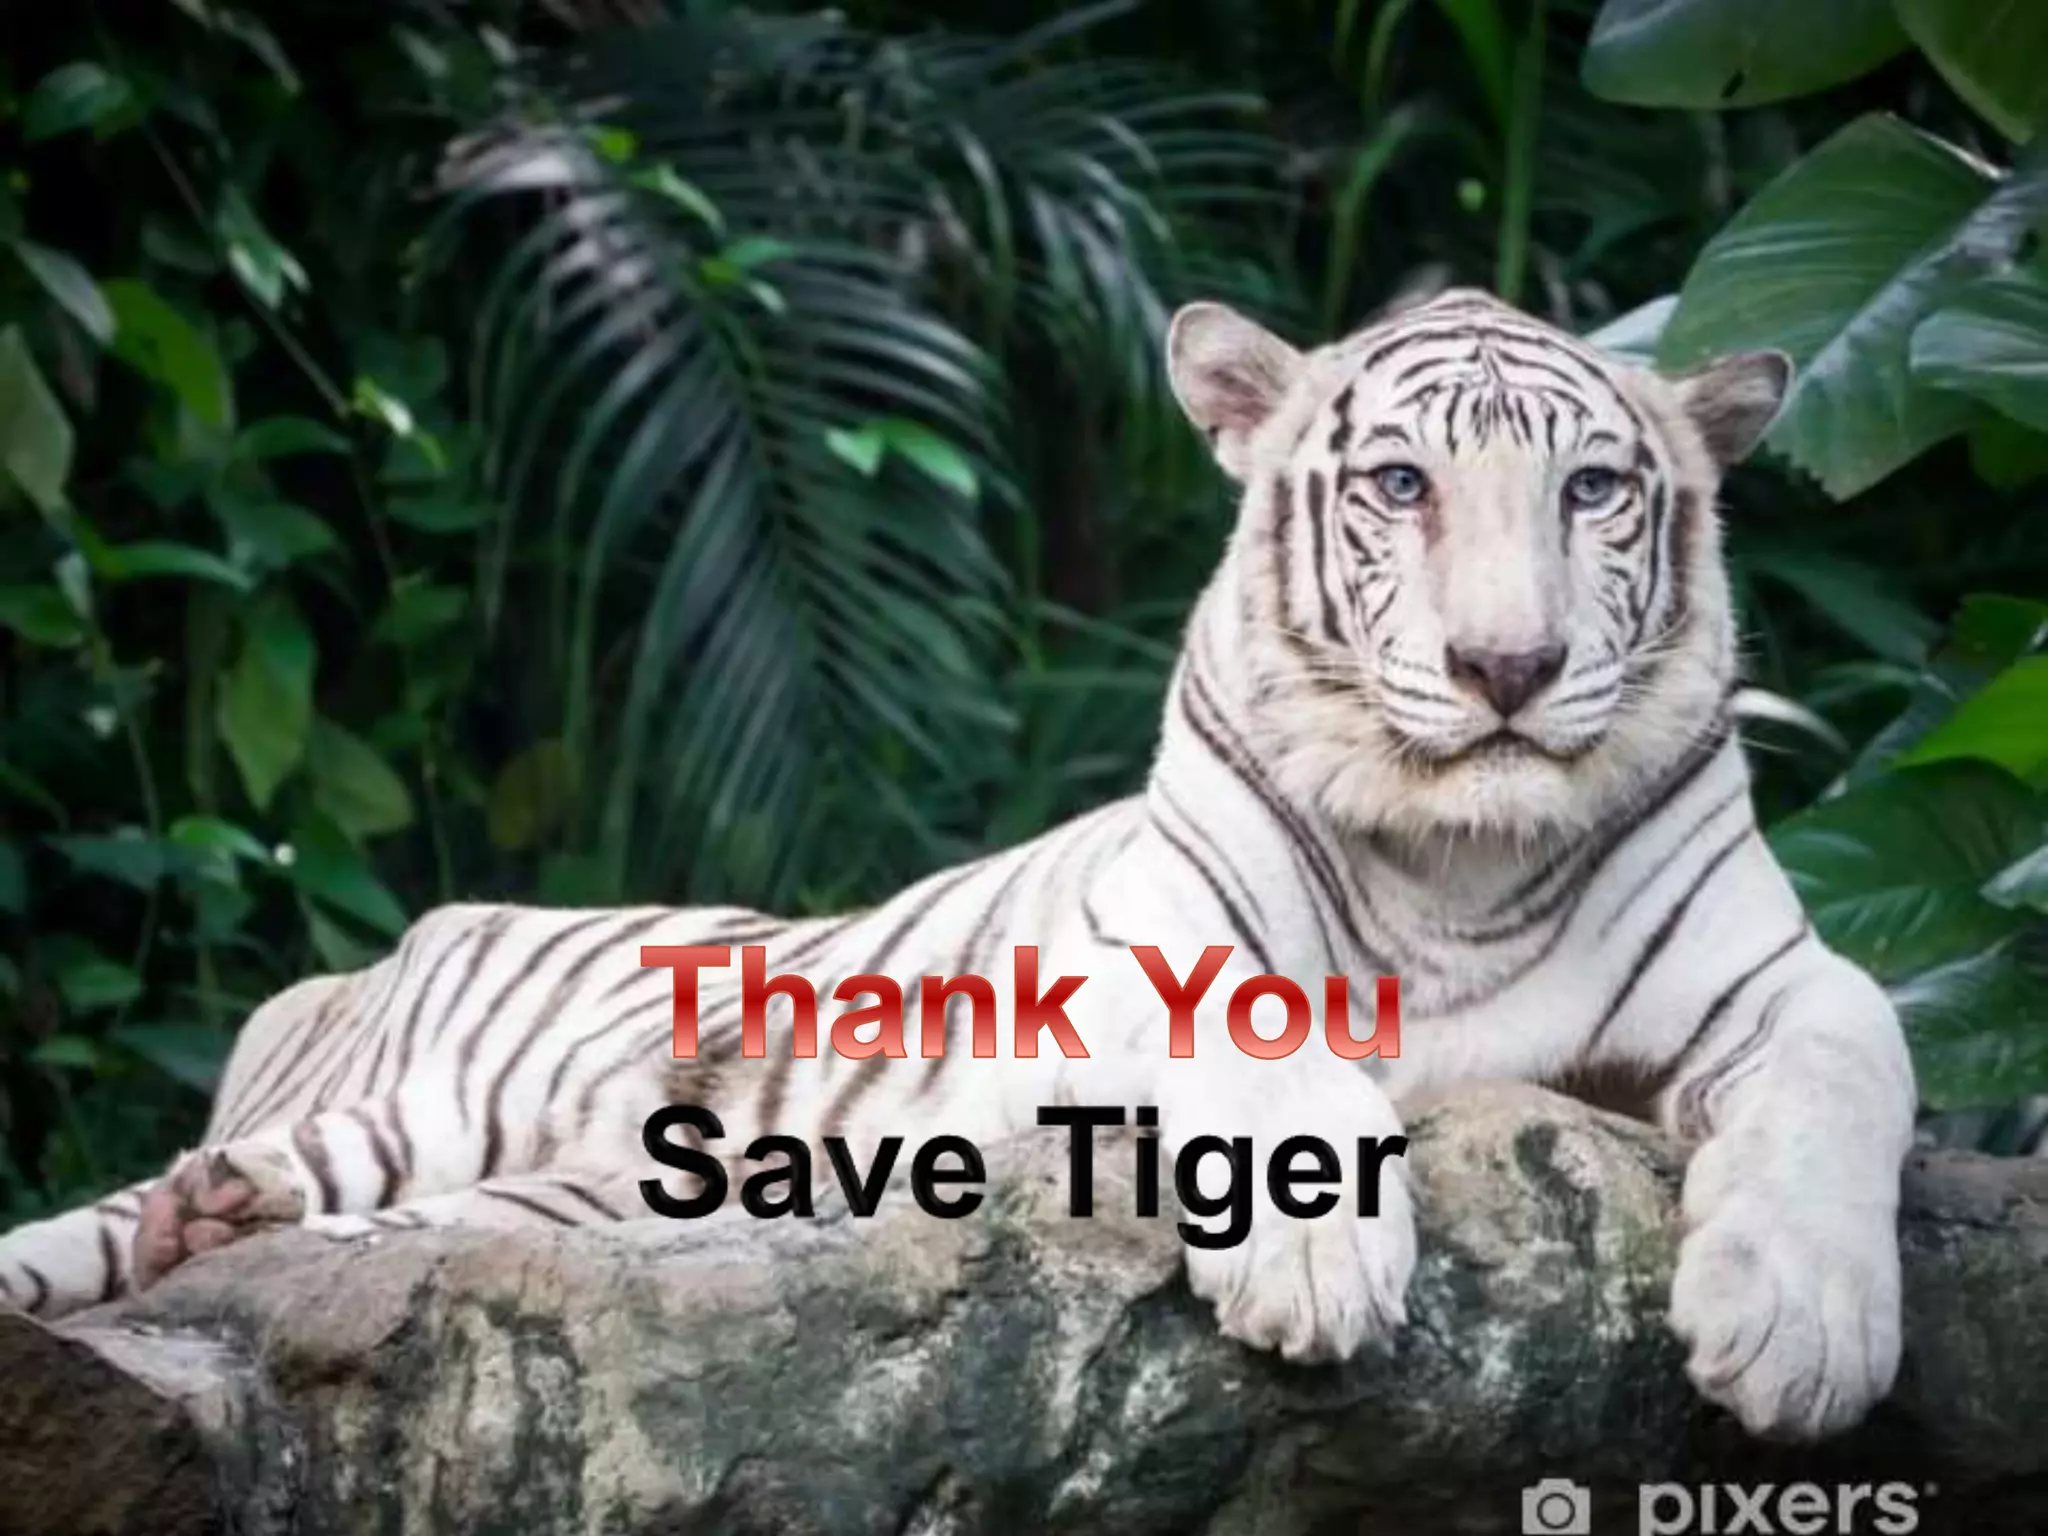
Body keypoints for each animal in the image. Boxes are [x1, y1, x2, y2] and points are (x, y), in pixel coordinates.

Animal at [0, 288, 1915, 1444]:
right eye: (1395, 484)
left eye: (1593, 490)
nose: (1507, 670)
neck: (1454, 850)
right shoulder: (1129, 976)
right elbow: (1267, 1047)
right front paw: (1313, 1268)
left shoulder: (1779, 980)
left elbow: (1855, 1061)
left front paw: (1803, 1337)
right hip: (445, 1088)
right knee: (169, 1210)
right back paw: (196, 1212)